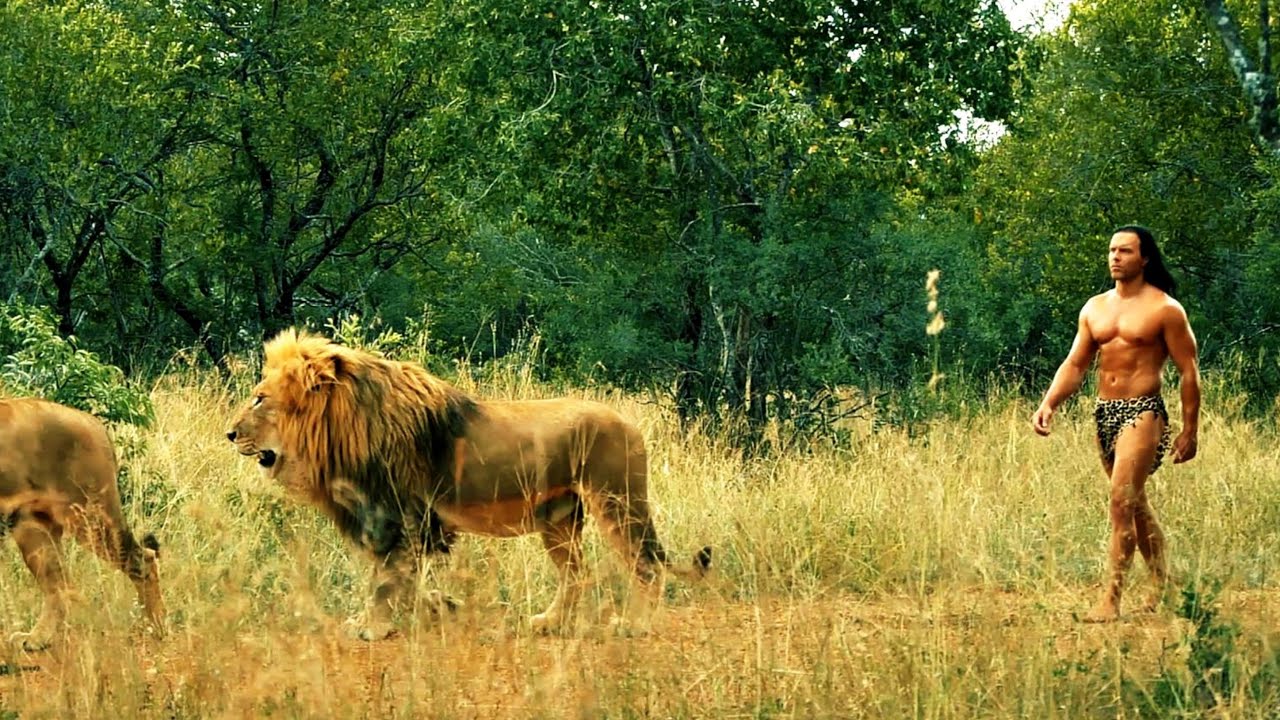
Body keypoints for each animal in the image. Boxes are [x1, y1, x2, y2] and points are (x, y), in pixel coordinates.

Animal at [0, 398, 165, 651]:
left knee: (142, 558)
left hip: (91, 517)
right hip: (33, 525)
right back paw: (37, 639)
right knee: (59, 585)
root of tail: (94, 422)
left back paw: (156, 627)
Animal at [225, 329, 710, 639]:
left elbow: (385, 581)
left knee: (645, 566)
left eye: (259, 398)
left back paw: (635, 625)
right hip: (559, 518)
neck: (341, 432)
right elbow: (401, 580)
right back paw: (550, 623)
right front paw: (440, 608)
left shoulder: (398, 517)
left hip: (617, 502)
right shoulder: (400, 522)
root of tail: (629, 422)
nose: (229, 433)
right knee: (576, 575)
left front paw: (374, 627)